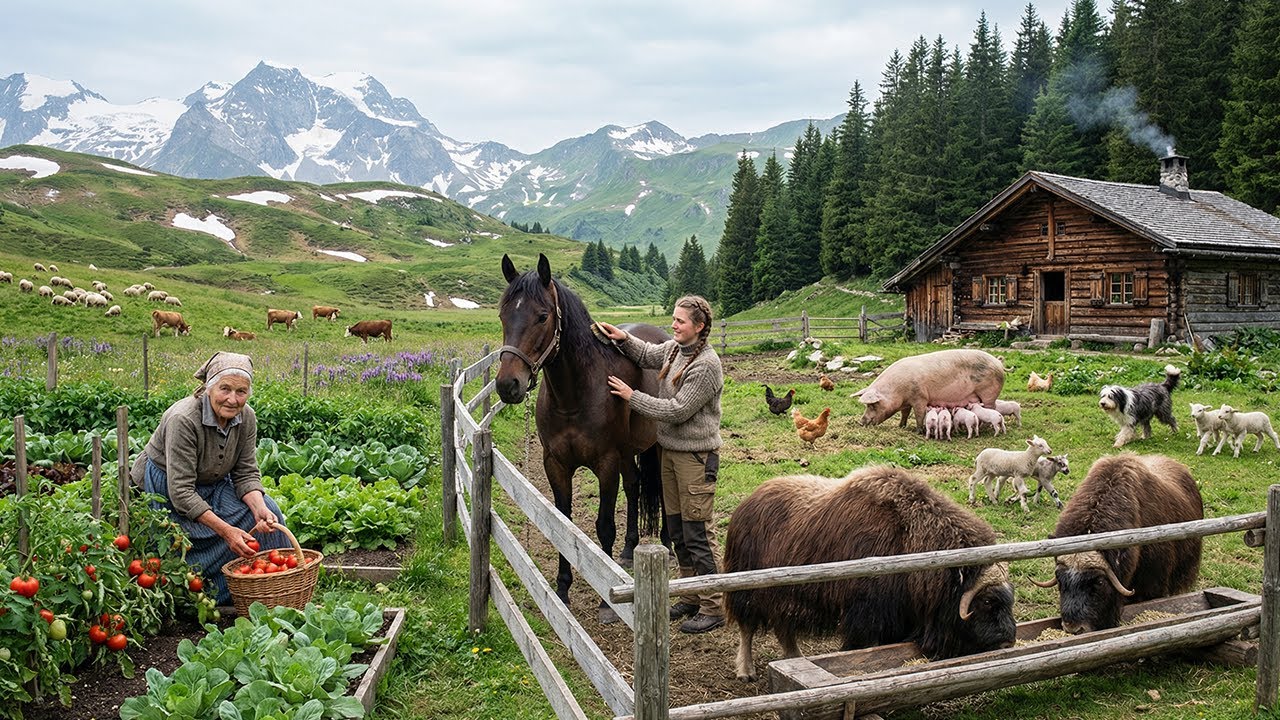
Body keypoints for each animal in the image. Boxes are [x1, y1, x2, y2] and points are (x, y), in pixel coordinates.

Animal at [496, 253, 666, 623]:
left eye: (542, 316)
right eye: (503, 315)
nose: (507, 385)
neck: (574, 396)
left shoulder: (606, 464)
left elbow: (604, 526)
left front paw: (605, 601)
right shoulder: (556, 464)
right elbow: (564, 524)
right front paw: (562, 590)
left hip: (656, 448)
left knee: (661, 490)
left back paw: (666, 542)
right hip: (628, 454)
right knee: (634, 487)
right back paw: (629, 549)